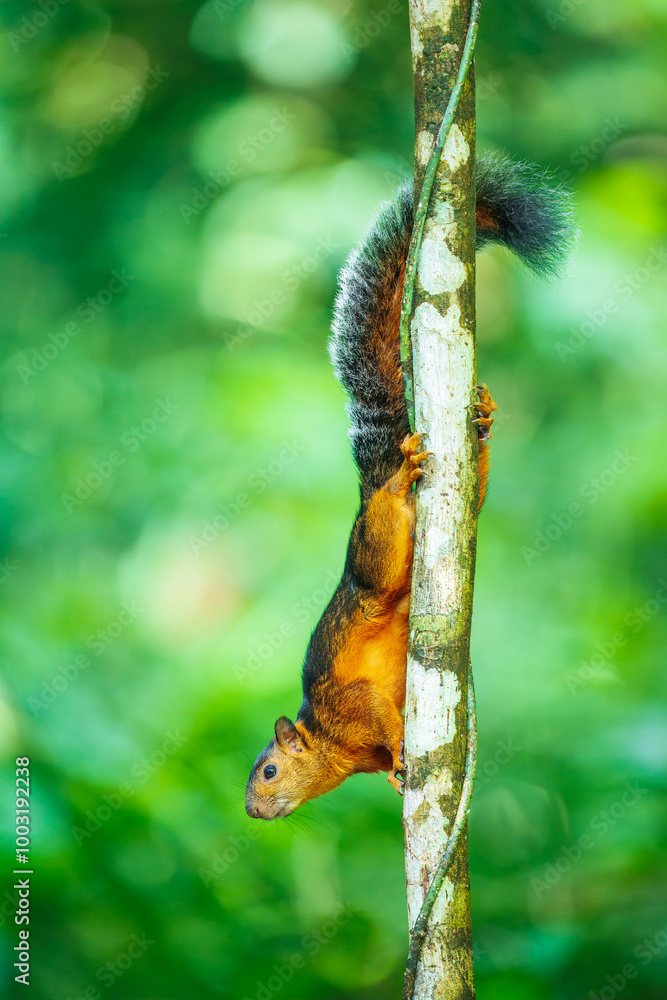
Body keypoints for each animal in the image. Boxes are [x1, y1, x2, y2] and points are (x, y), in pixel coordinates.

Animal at [246, 155, 573, 820]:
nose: (253, 811)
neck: (330, 746)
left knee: (388, 536)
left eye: (268, 771)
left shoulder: (353, 708)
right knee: (475, 491)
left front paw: (401, 748)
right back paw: (480, 426)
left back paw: (411, 470)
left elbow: (382, 717)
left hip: (377, 551)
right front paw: (398, 778)